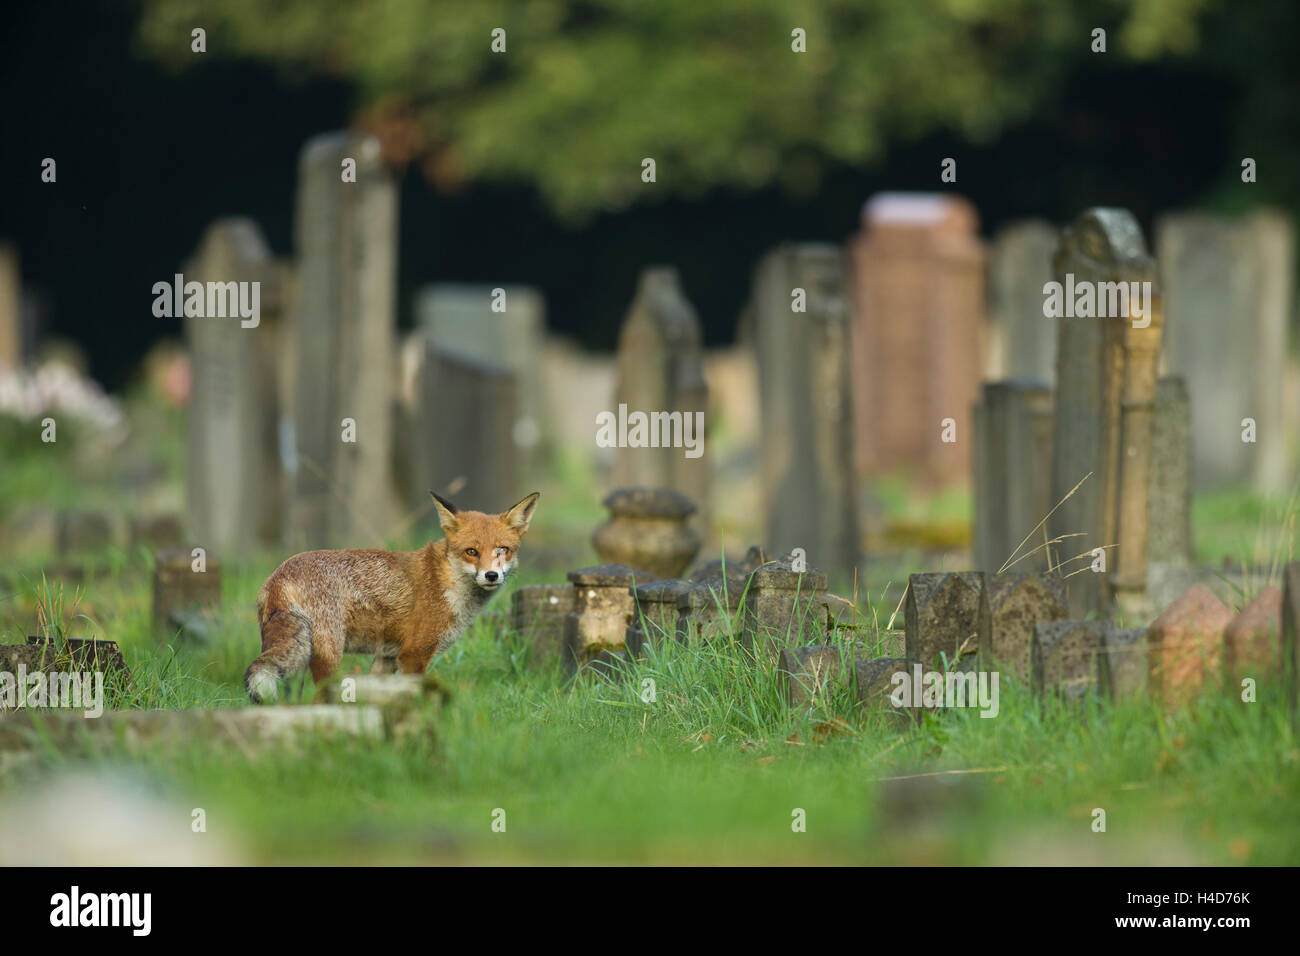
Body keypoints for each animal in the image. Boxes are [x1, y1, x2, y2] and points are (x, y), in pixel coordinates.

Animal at [244, 490, 540, 703]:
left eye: (503, 550)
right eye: (471, 552)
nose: (491, 575)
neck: (447, 580)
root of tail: (279, 573)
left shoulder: (387, 658)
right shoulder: (414, 654)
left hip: (299, 661)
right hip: (328, 655)